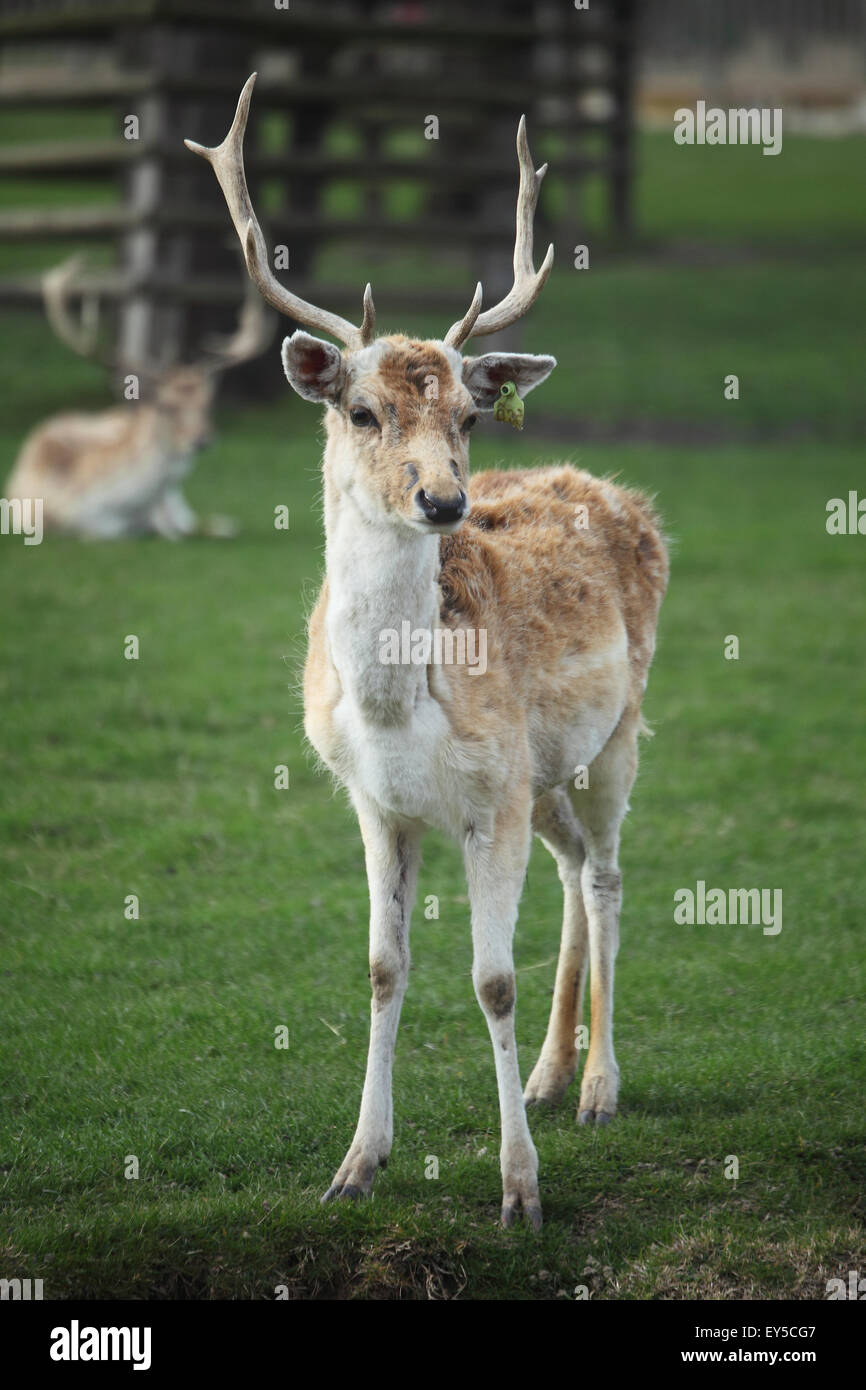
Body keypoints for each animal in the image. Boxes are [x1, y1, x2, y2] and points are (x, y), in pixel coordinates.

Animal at [187, 75, 669, 1229]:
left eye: (467, 414)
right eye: (361, 409)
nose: (445, 500)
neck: (396, 706)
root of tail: (623, 496)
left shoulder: (488, 797)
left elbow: (489, 980)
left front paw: (518, 1190)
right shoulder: (379, 803)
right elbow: (380, 968)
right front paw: (355, 1162)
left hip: (615, 736)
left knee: (605, 875)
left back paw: (596, 1087)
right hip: (544, 777)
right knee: (573, 869)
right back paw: (547, 1075)